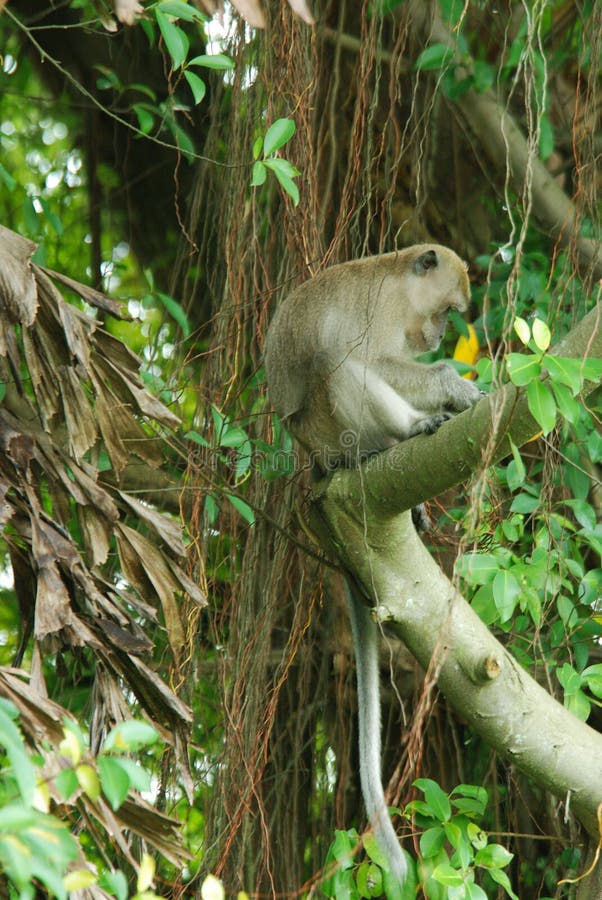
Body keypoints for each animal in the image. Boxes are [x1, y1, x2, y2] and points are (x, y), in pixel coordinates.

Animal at [264, 244, 483, 885]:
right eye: (449, 309)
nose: (439, 335)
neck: (398, 281)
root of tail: (313, 459)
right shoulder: (382, 313)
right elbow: (369, 359)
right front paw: (453, 387)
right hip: (329, 429)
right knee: (340, 367)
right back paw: (406, 431)